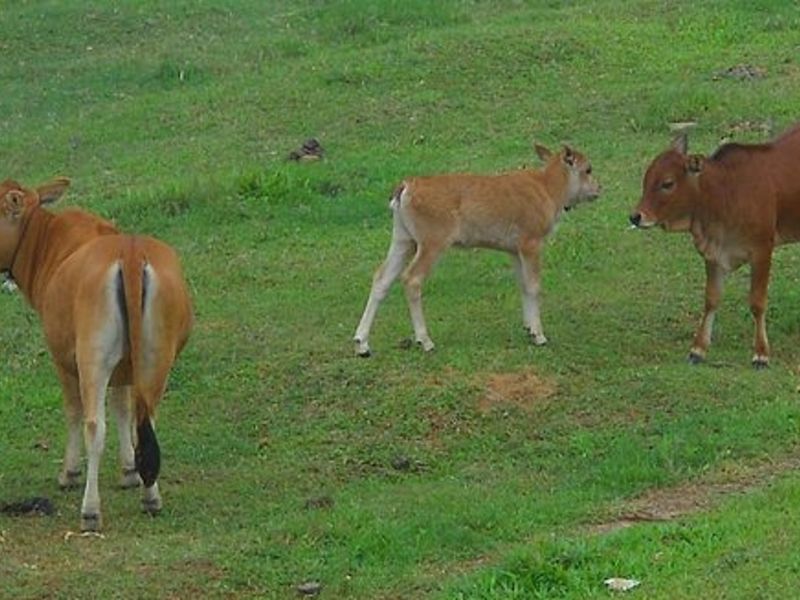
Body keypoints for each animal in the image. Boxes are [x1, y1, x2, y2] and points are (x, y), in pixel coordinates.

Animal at [0, 178, 192, 531]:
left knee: (94, 426)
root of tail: (130, 252)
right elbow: (122, 409)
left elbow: (74, 413)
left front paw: (69, 473)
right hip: (155, 357)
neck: (47, 241)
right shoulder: (126, 369)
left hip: (93, 359)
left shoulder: (64, 361)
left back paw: (90, 510)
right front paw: (129, 471)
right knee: (146, 420)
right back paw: (151, 496)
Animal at [353, 143, 601, 356]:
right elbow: (533, 286)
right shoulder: (531, 242)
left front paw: (528, 328)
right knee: (411, 279)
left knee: (382, 278)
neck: (548, 188)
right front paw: (539, 335)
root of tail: (406, 186)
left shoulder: (514, 250)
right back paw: (425, 341)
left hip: (403, 240)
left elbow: (522, 284)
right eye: (588, 169)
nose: (599, 188)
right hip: (432, 243)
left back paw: (362, 344)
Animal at [629, 124, 800, 367]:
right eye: (646, 180)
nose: (635, 217)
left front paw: (761, 354)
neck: (725, 193)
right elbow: (711, 299)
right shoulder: (713, 255)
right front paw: (698, 349)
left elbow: (757, 303)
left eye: (667, 183)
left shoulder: (762, 250)